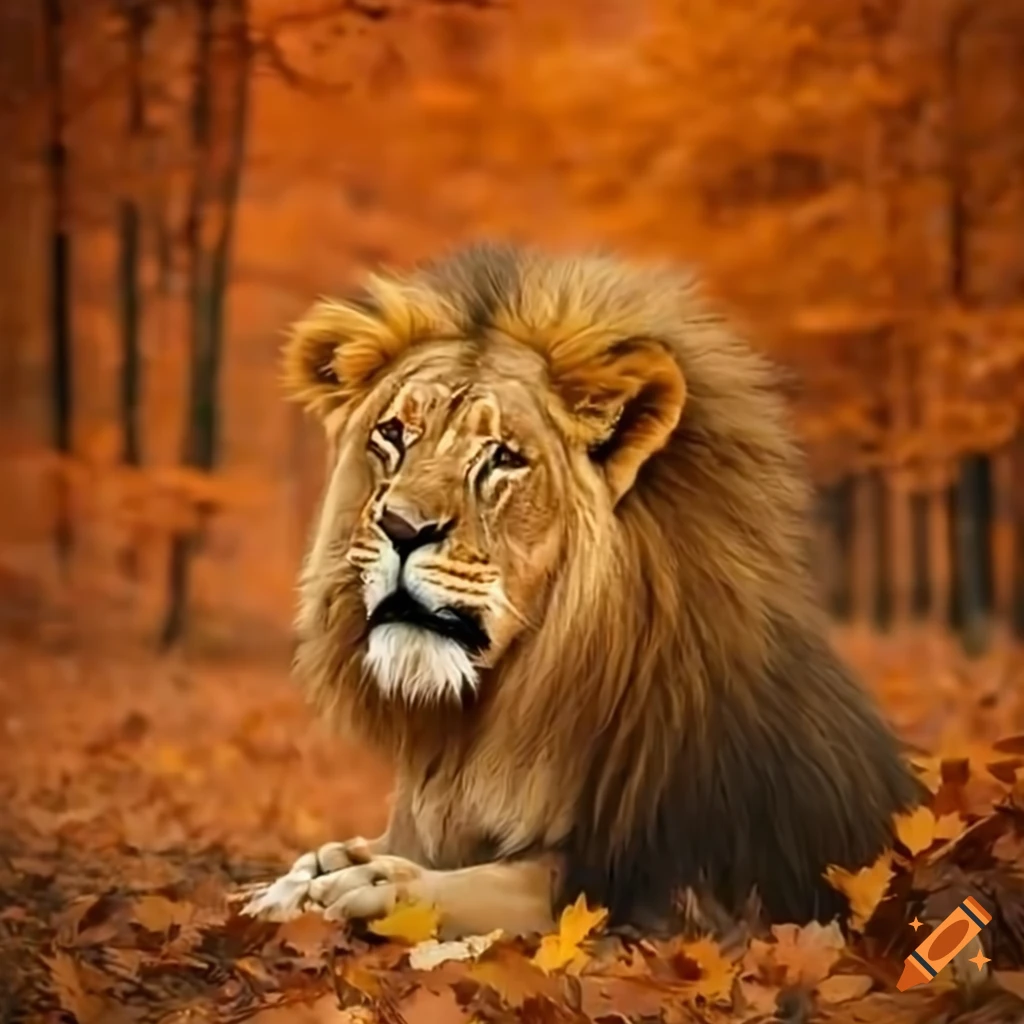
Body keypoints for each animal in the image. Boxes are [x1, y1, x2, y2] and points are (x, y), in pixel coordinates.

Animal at [240, 242, 923, 939]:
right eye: (392, 434)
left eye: (503, 457)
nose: (402, 528)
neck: (484, 721)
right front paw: (298, 877)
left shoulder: (673, 884)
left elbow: (519, 881)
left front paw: (376, 883)